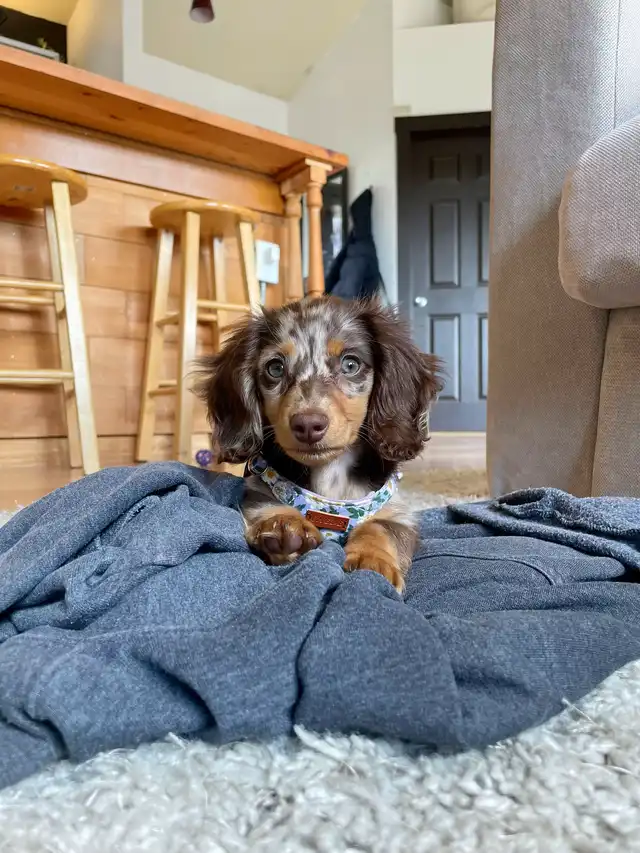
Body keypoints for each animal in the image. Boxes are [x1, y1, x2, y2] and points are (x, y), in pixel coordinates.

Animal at [195, 297, 443, 592]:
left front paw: (373, 559)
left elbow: (380, 526)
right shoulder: (258, 491)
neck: (330, 475)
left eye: (351, 364)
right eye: (275, 368)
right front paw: (285, 524)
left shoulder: (398, 512)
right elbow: (268, 506)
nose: (308, 425)